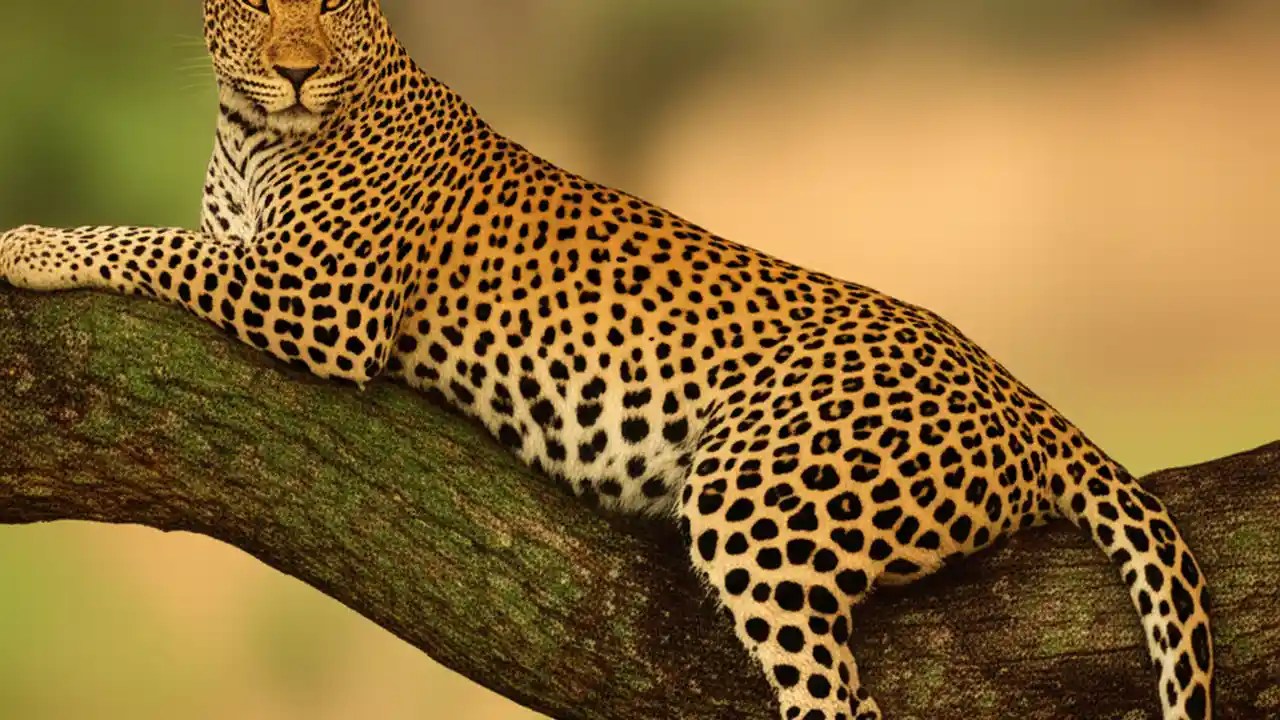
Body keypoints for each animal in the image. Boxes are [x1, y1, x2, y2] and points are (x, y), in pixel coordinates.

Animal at [0, 1, 1215, 718]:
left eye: (336, 4)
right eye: (257, 3)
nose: (298, 72)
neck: (253, 133)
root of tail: (1013, 387)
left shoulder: (318, 296)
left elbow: (155, 243)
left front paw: (28, 244)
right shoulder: (277, 266)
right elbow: (176, 237)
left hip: (759, 502)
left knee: (838, 700)